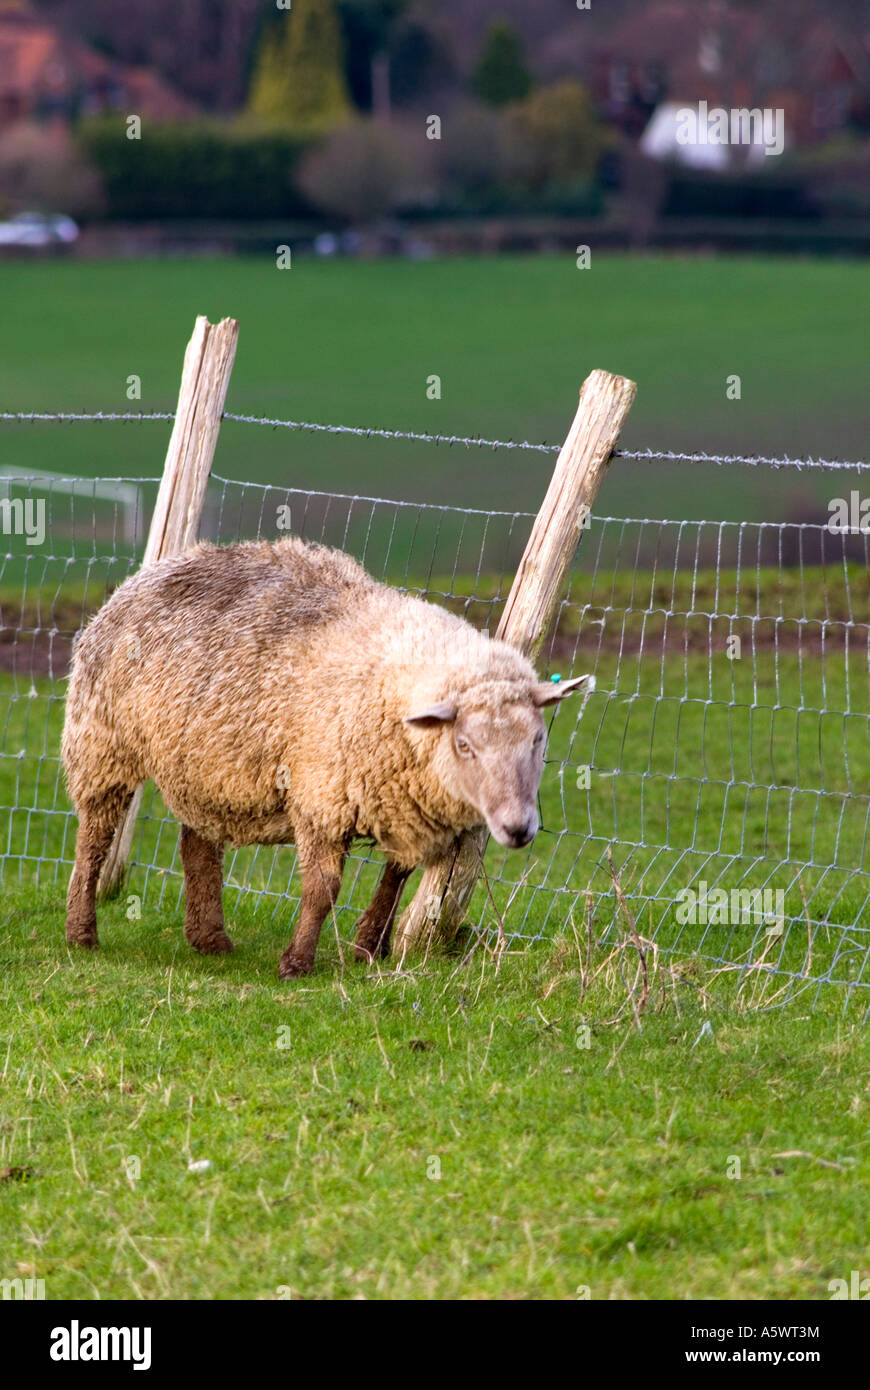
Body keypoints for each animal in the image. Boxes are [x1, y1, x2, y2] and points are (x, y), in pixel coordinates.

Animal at [62, 535, 589, 978]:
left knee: (198, 843)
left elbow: (396, 878)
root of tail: (152, 570)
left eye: (538, 740)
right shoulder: (323, 797)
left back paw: (210, 938)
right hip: (102, 743)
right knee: (94, 840)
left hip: (209, 762)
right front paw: (297, 962)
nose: (519, 828)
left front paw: (368, 947)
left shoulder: (402, 803)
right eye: (465, 745)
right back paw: (81, 932)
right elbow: (322, 889)